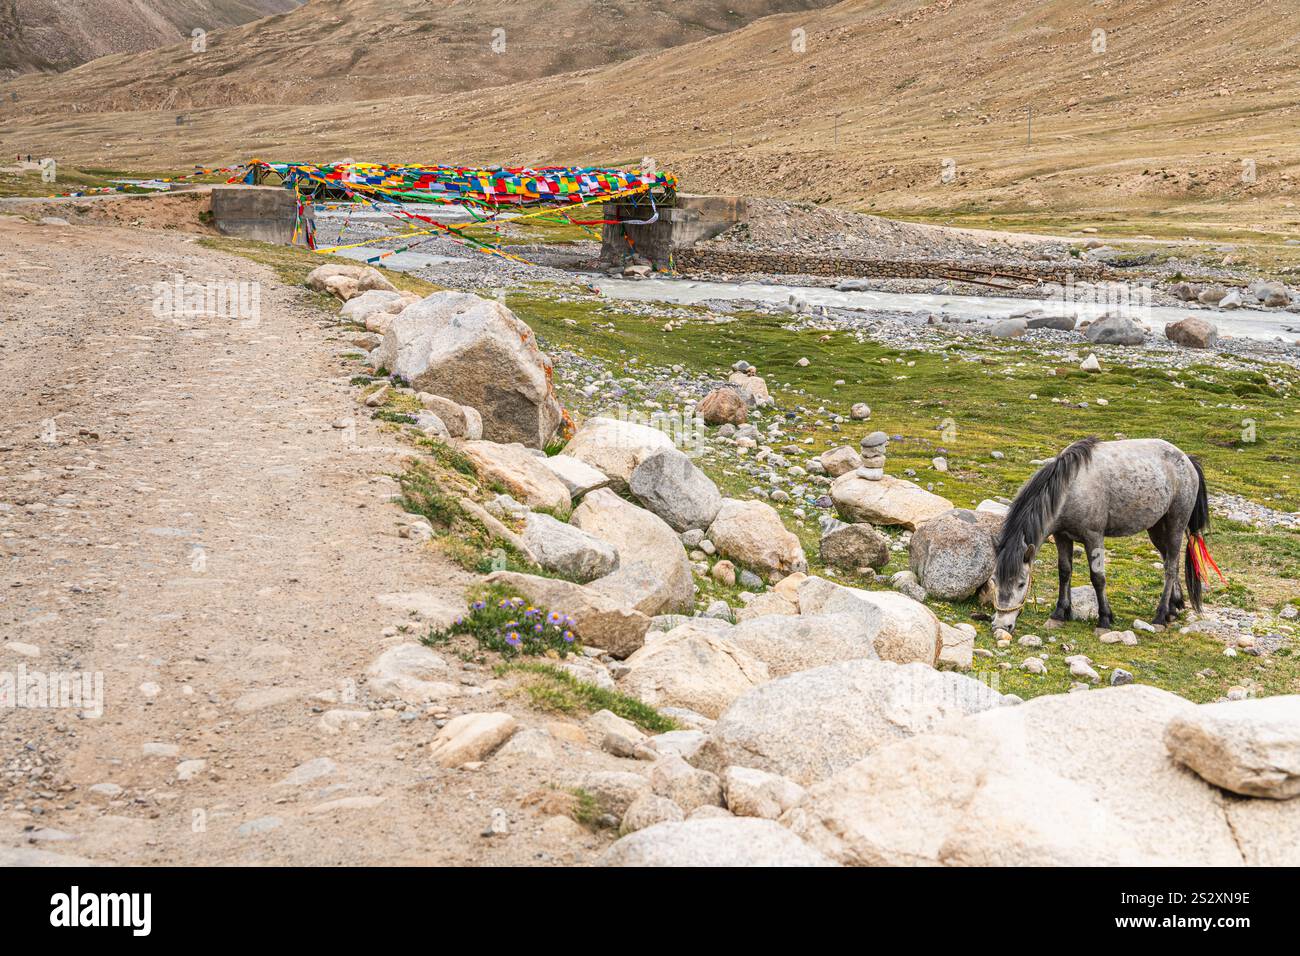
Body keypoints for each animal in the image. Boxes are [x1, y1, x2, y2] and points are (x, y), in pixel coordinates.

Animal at [991, 437, 1221, 637]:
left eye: (1021, 584)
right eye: (994, 580)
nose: (1001, 625)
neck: (1070, 488)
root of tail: (1187, 460)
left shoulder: (1093, 537)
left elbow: (1098, 578)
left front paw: (1104, 619)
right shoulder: (1061, 536)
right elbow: (1064, 572)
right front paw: (1059, 614)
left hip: (1175, 525)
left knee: (1171, 567)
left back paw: (1160, 615)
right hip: (1156, 528)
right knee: (1168, 560)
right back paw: (1173, 608)